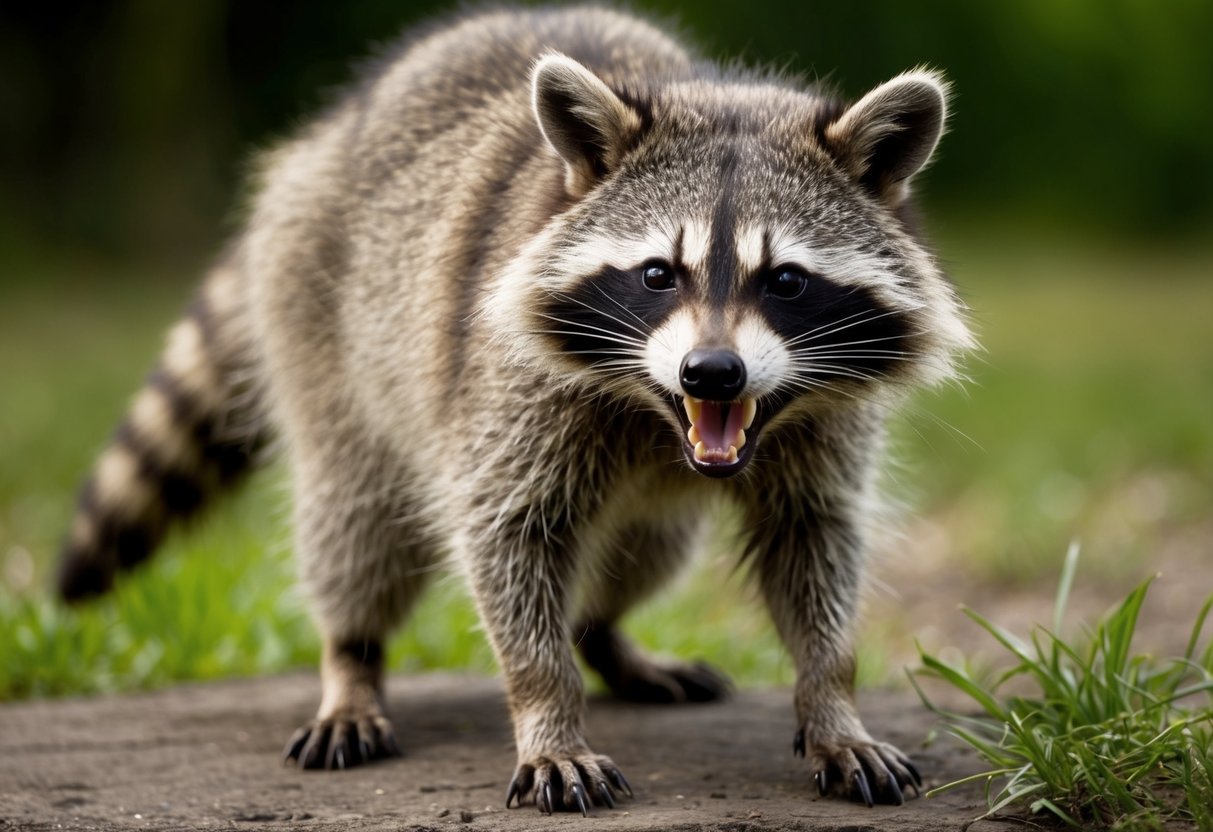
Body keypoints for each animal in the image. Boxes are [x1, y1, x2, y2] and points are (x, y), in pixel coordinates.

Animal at [57, 5, 973, 814]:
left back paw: (605, 634)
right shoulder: (506, 390)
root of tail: (331, 129)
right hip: (319, 324)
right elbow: (506, 537)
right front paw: (545, 710)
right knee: (355, 527)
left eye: (784, 280)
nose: (712, 374)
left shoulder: (823, 426)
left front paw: (832, 700)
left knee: (648, 548)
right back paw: (350, 660)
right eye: (657, 275)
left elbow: (814, 543)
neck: (656, 417)